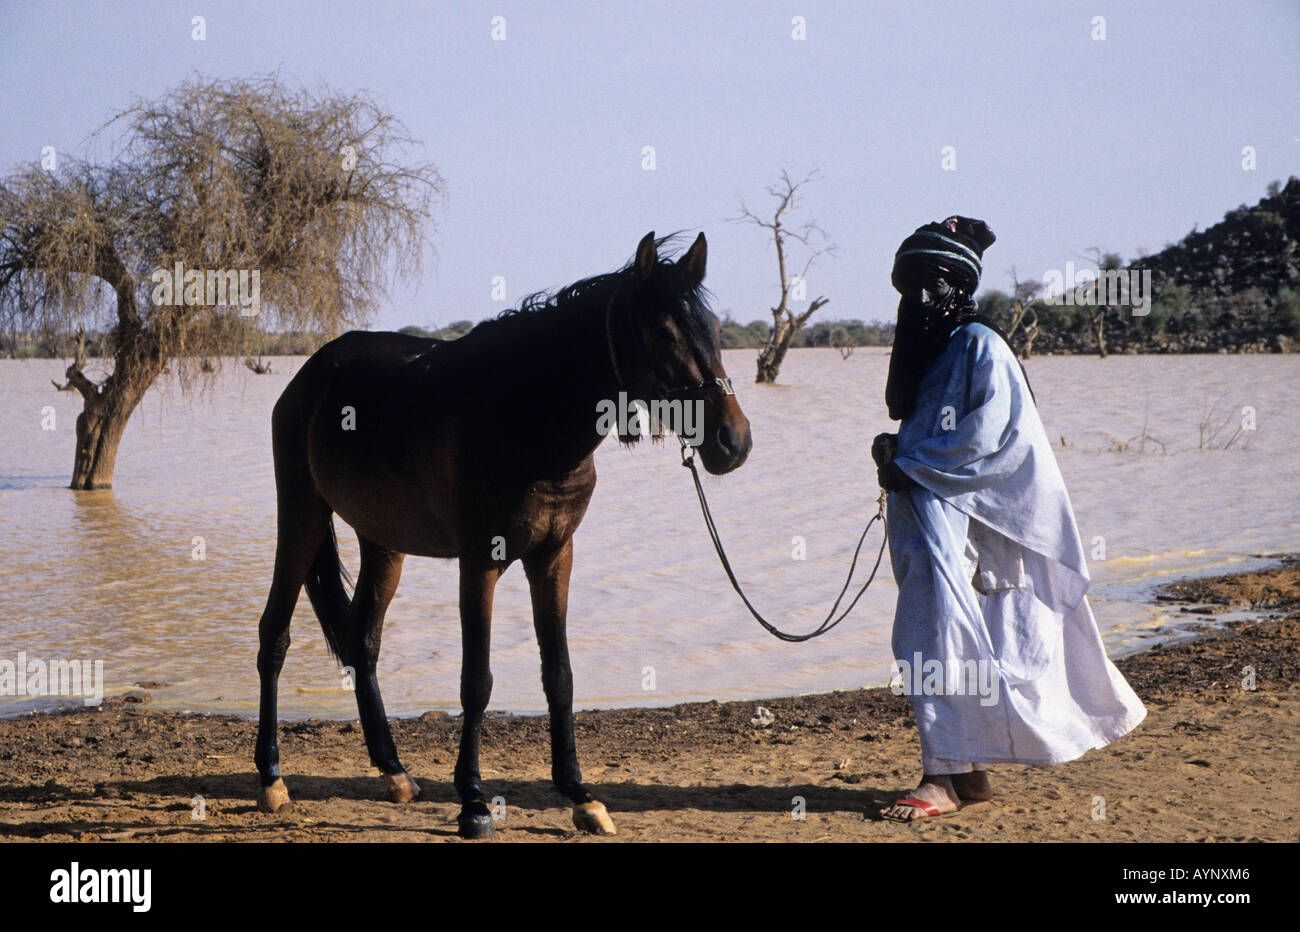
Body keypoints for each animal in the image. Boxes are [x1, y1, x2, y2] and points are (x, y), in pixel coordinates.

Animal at [253, 231, 752, 837]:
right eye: (661, 331)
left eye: (715, 329)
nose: (733, 441)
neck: (526, 416)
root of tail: (308, 375)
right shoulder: (480, 562)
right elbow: (477, 681)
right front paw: (472, 803)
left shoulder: (554, 556)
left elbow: (558, 675)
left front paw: (581, 796)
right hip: (301, 517)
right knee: (274, 636)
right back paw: (272, 779)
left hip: (383, 544)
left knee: (362, 643)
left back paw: (395, 772)